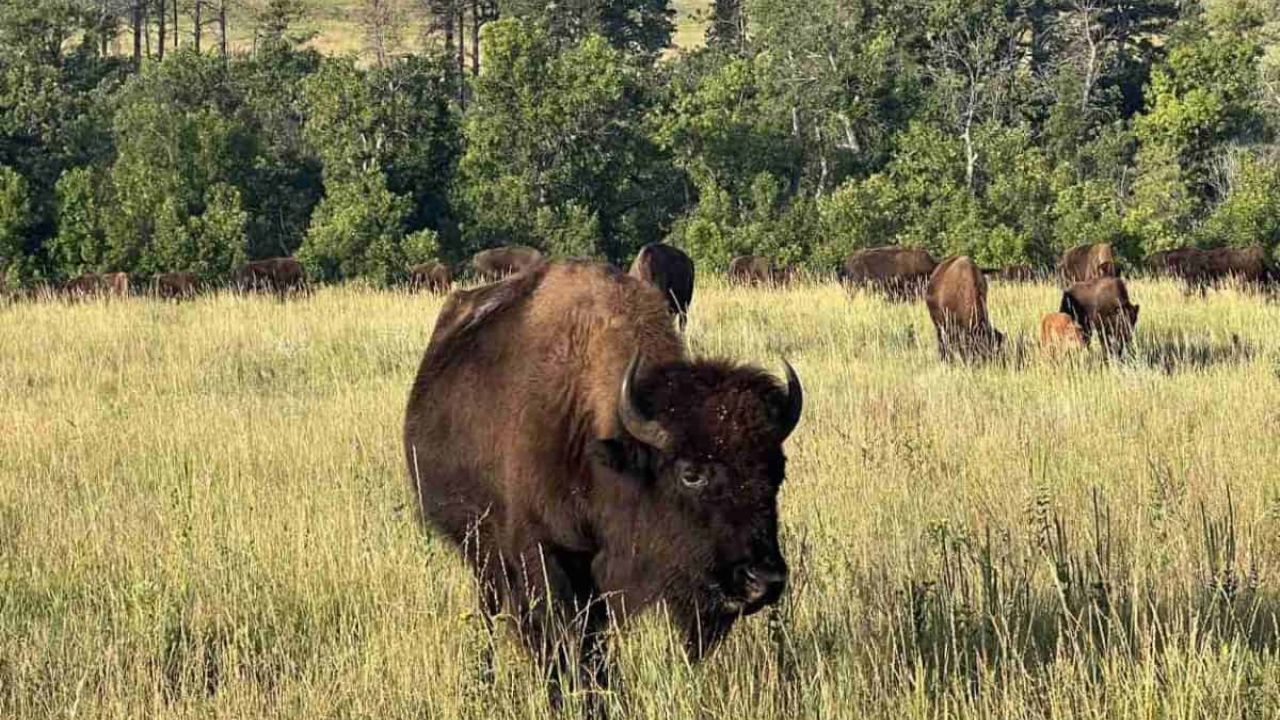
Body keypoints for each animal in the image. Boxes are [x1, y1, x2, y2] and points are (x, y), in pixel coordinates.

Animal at [403, 261, 802, 705]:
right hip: (480, 551)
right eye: (690, 473)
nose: (763, 581)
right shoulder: (545, 556)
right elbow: (565, 640)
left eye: (777, 470)